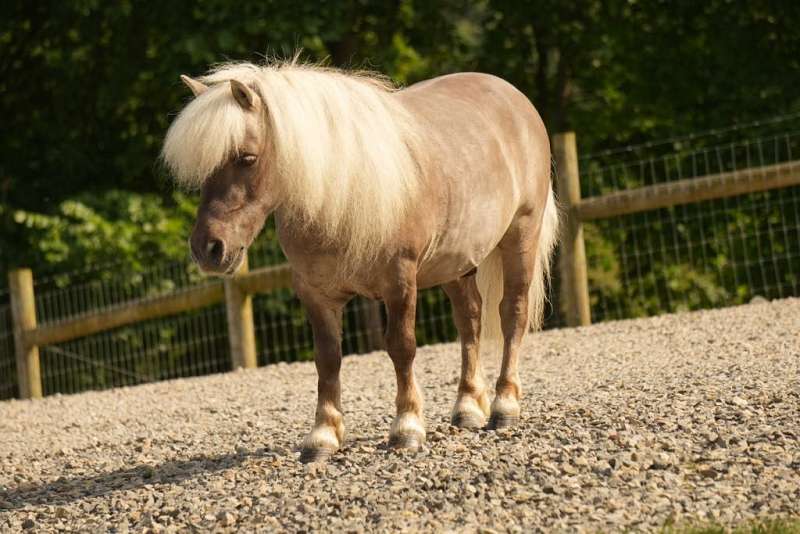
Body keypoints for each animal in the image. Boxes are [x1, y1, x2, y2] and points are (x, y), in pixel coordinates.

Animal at [162, 60, 559, 462]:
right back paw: (467, 408)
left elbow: (401, 347)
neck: (340, 194)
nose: (208, 249)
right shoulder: (315, 293)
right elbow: (328, 358)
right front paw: (323, 436)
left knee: (512, 313)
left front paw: (407, 428)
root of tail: (513, 97)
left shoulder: (399, 282)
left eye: (247, 158)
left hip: (521, 235)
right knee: (470, 320)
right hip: (458, 261)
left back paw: (504, 406)